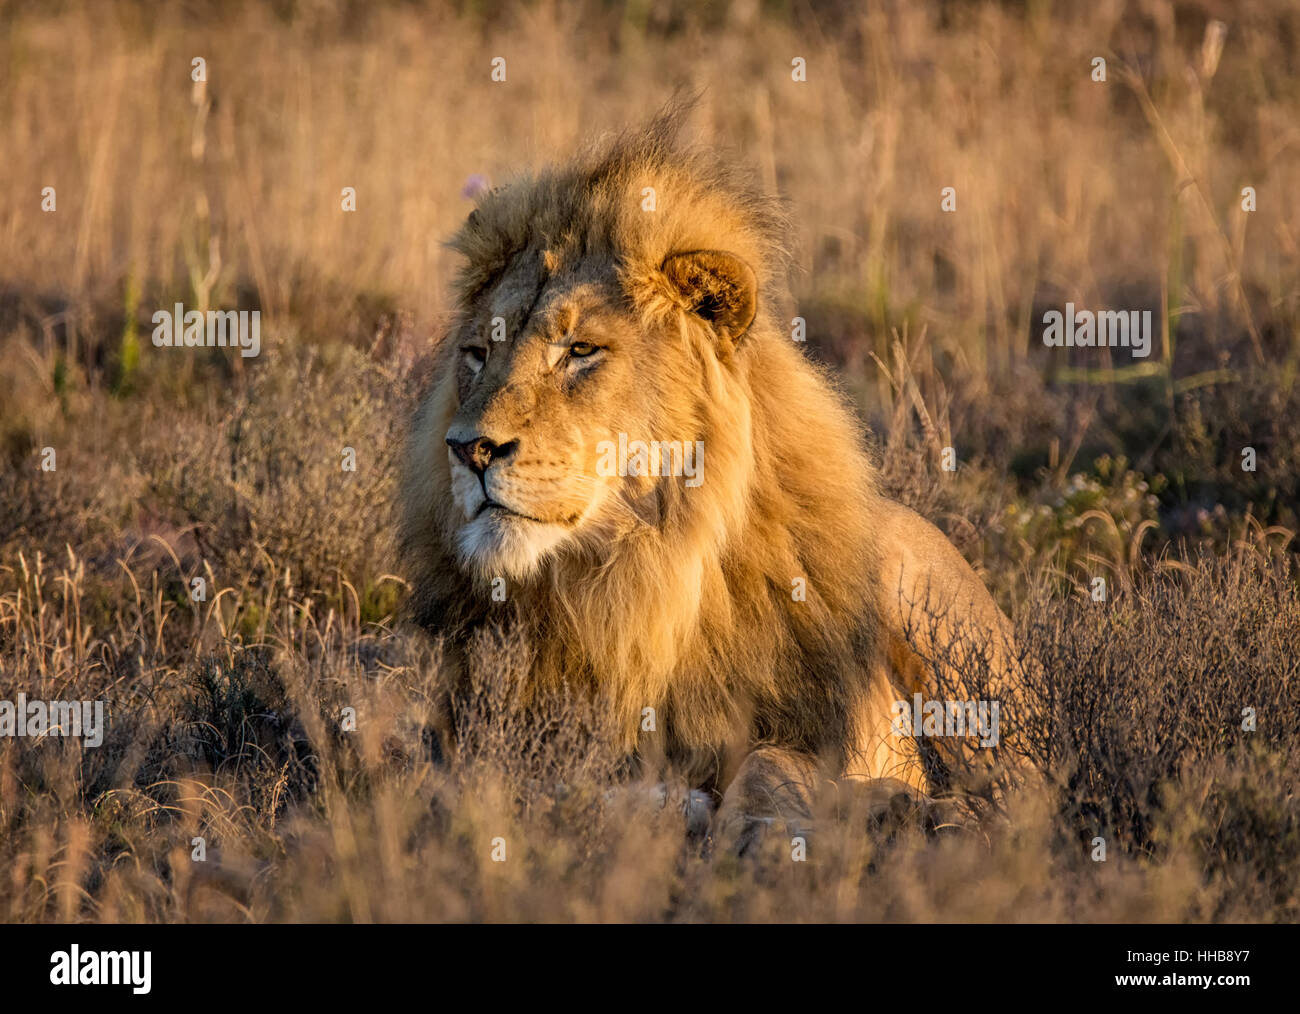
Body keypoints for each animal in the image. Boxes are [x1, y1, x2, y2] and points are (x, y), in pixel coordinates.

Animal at [400, 108, 1027, 853]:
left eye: (581, 350)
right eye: (476, 353)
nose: (467, 449)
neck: (630, 580)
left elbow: (770, 762)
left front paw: (768, 826)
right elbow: (486, 783)